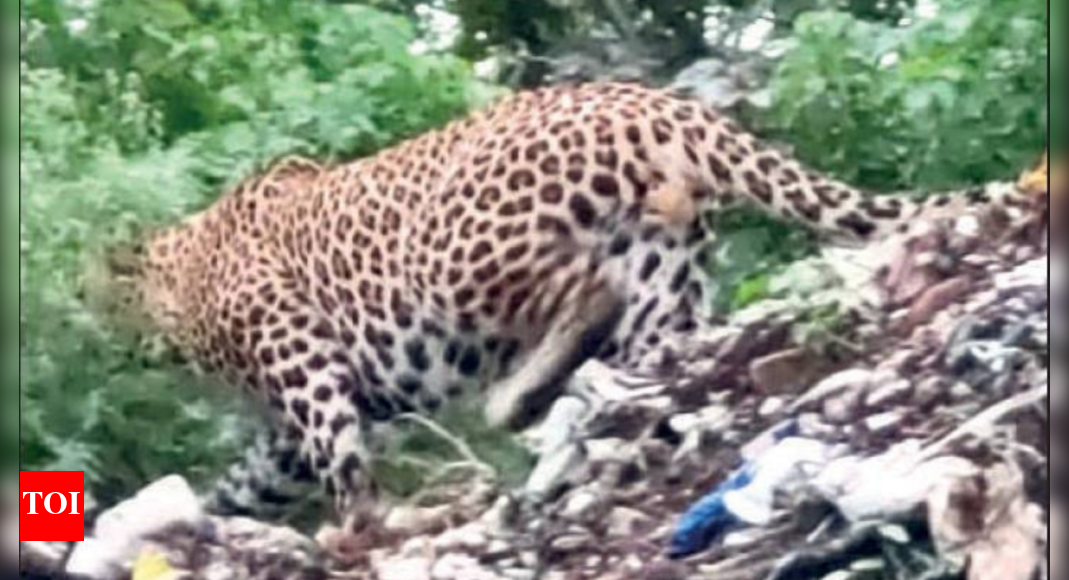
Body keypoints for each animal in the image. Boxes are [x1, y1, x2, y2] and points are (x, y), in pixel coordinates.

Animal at [92, 82, 1033, 533]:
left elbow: (338, 460)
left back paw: (517, 399)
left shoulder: (301, 359)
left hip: (458, 256)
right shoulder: (283, 429)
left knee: (574, 292)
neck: (182, 268)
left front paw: (358, 524)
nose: (97, 333)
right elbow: (253, 476)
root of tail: (653, 99)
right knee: (650, 344)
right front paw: (199, 515)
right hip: (665, 265)